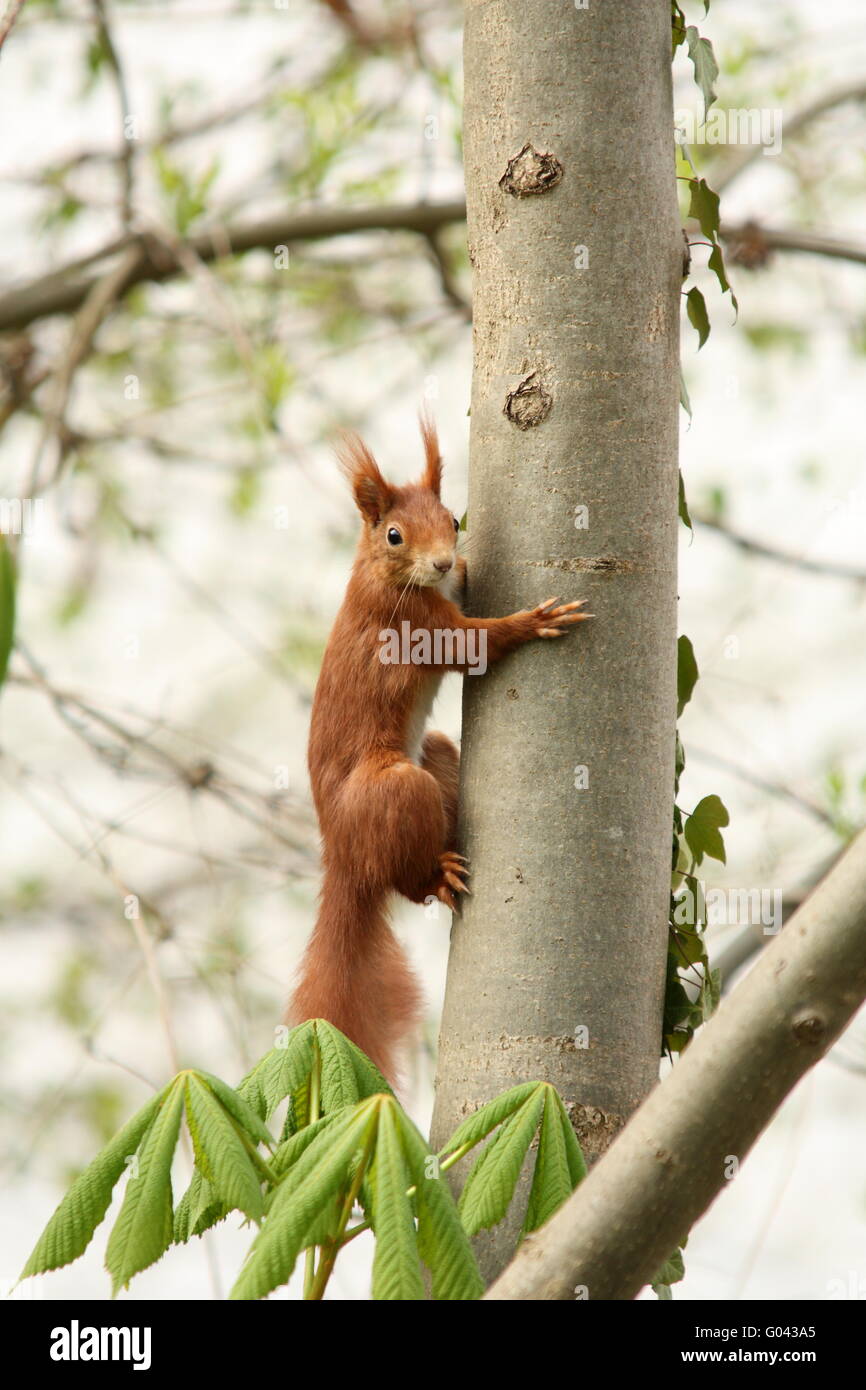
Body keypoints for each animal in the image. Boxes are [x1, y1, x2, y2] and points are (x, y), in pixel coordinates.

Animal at [286, 416, 591, 1081]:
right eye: (394, 534)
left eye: (453, 518)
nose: (444, 561)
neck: (383, 574)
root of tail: (342, 855)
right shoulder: (420, 625)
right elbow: (478, 643)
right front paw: (531, 622)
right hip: (397, 788)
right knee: (404, 879)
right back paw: (438, 877)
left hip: (437, 754)